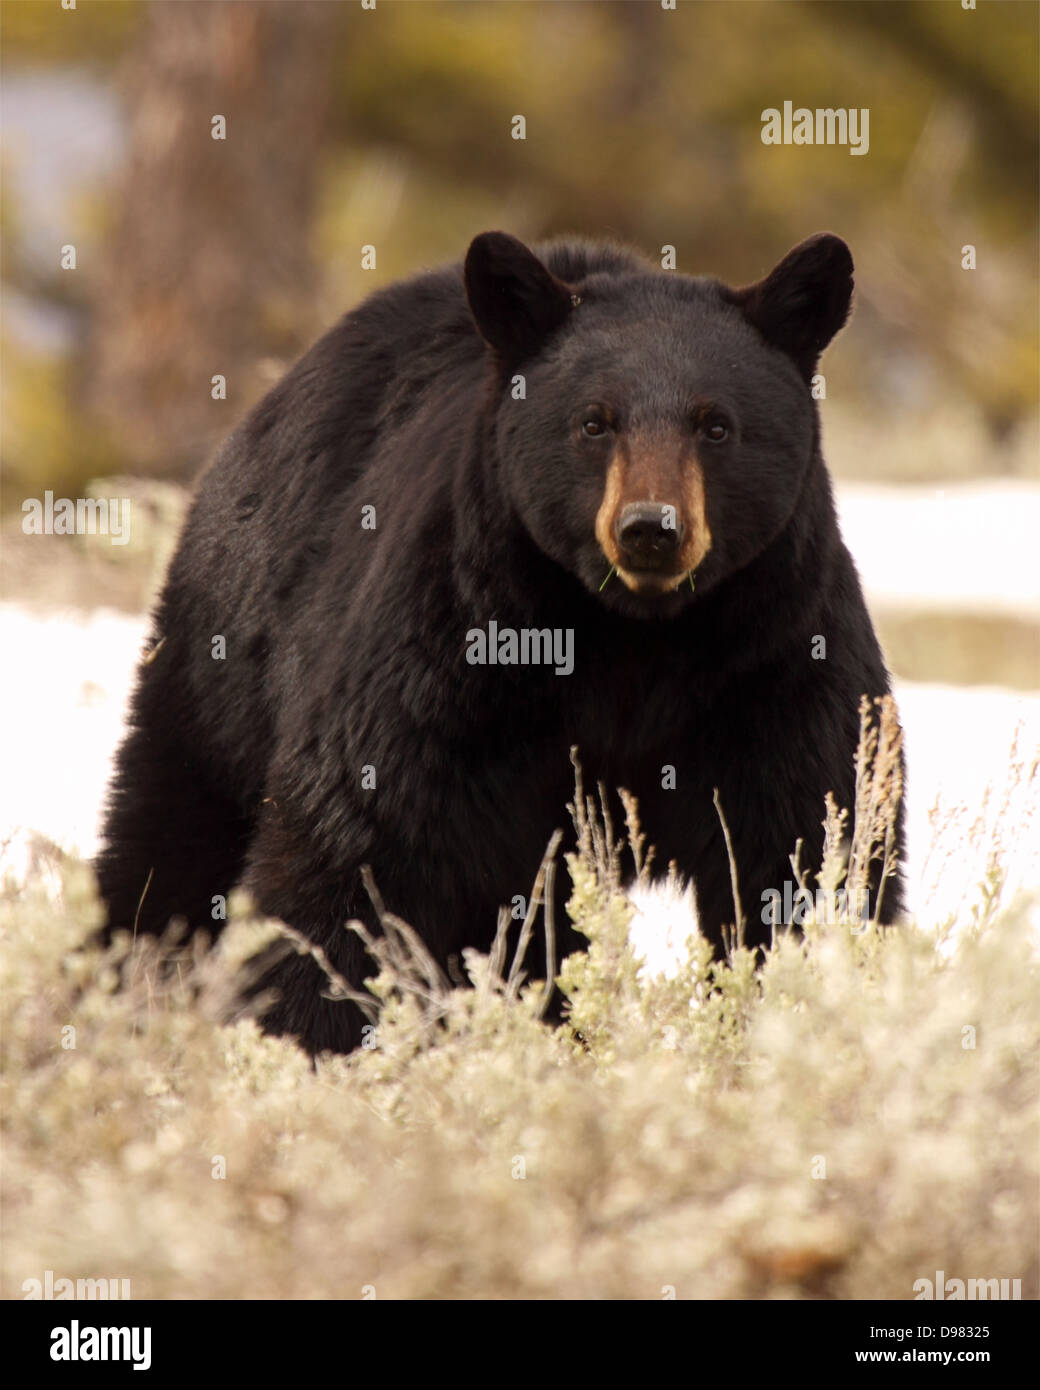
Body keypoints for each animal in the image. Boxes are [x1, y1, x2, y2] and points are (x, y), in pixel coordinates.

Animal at [96, 229, 904, 1055]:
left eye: (717, 425)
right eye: (594, 421)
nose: (650, 528)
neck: (632, 639)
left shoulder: (775, 659)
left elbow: (807, 850)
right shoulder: (453, 654)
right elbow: (360, 846)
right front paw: (307, 1039)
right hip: (224, 656)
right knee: (169, 837)